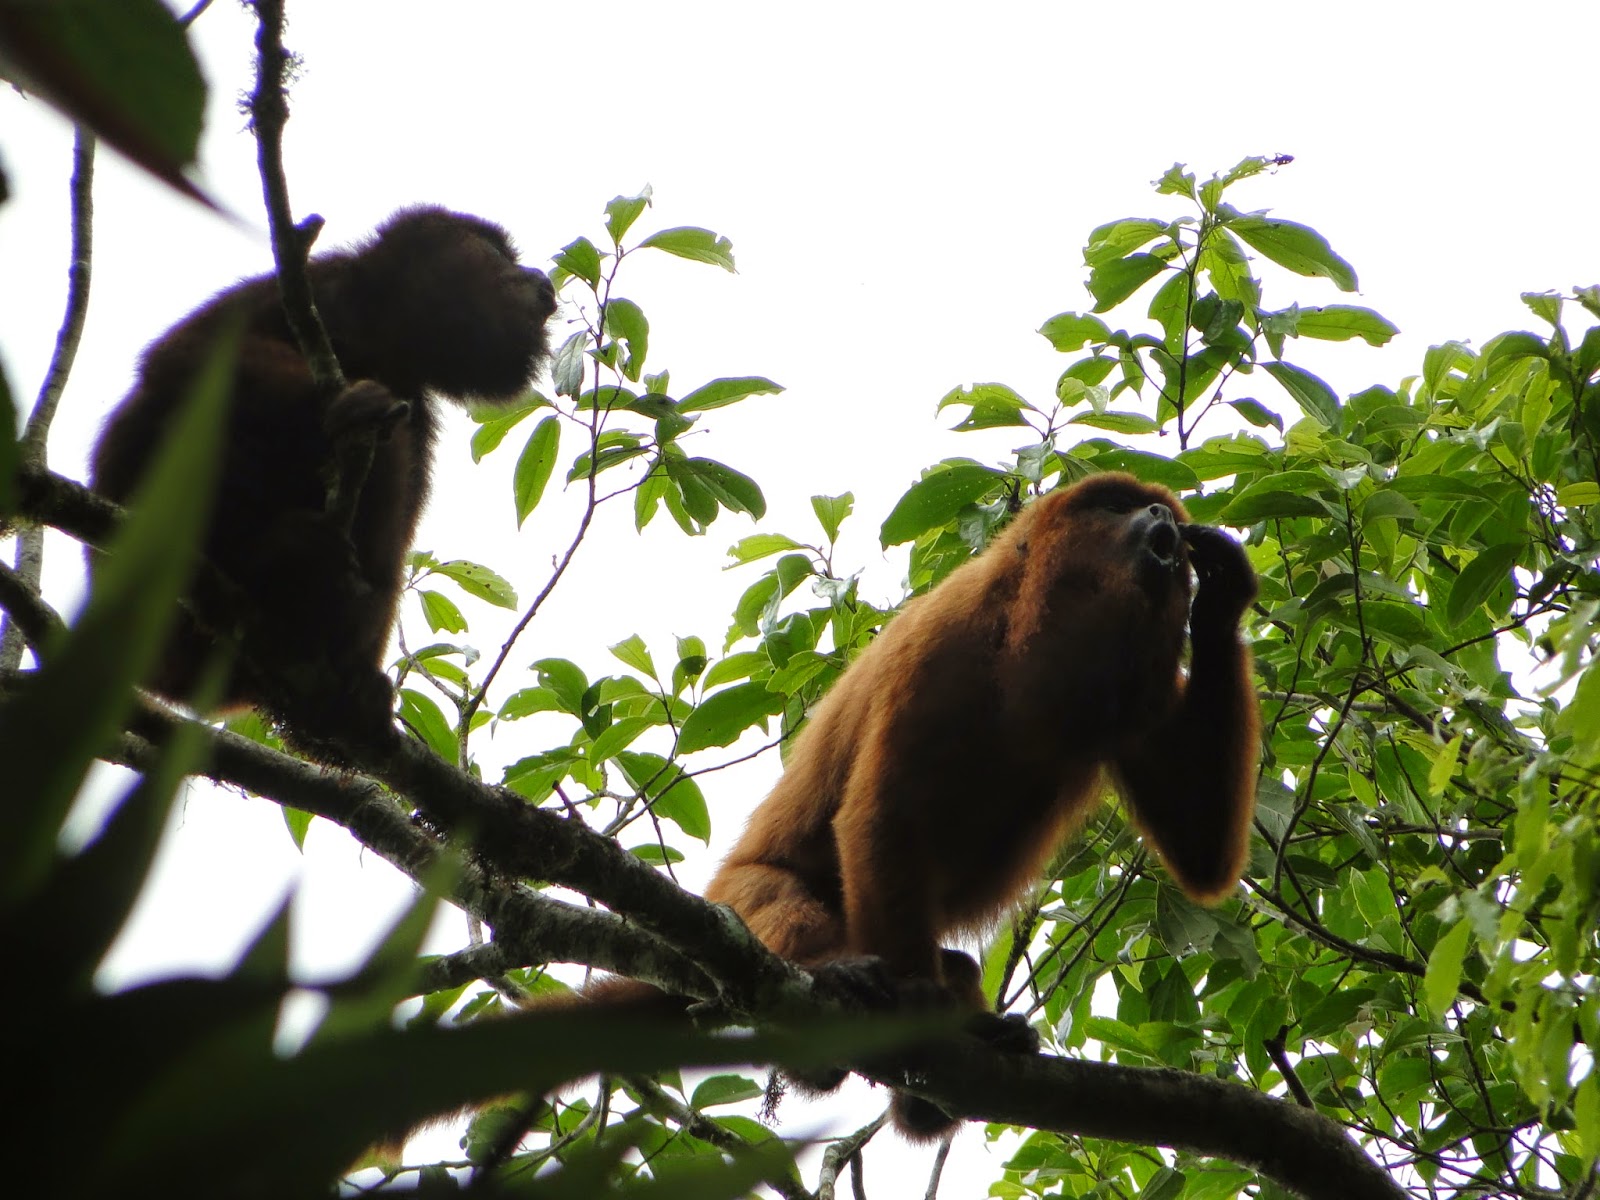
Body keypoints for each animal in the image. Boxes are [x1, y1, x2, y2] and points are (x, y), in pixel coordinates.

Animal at [88, 206, 557, 738]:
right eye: (497, 252)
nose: (542, 281)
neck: (385, 337)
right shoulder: (314, 283)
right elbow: (183, 356)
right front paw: (342, 404)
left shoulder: (416, 402)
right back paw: (270, 554)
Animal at [698, 470, 1260, 1138]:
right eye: (1116, 505)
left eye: (1158, 507)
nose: (1160, 514)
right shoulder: (947, 633)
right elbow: (882, 814)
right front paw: (914, 1001)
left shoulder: (1141, 694)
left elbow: (1202, 856)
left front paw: (1223, 593)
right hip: (737, 900)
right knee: (778, 899)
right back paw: (840, 976)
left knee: (961, 966)